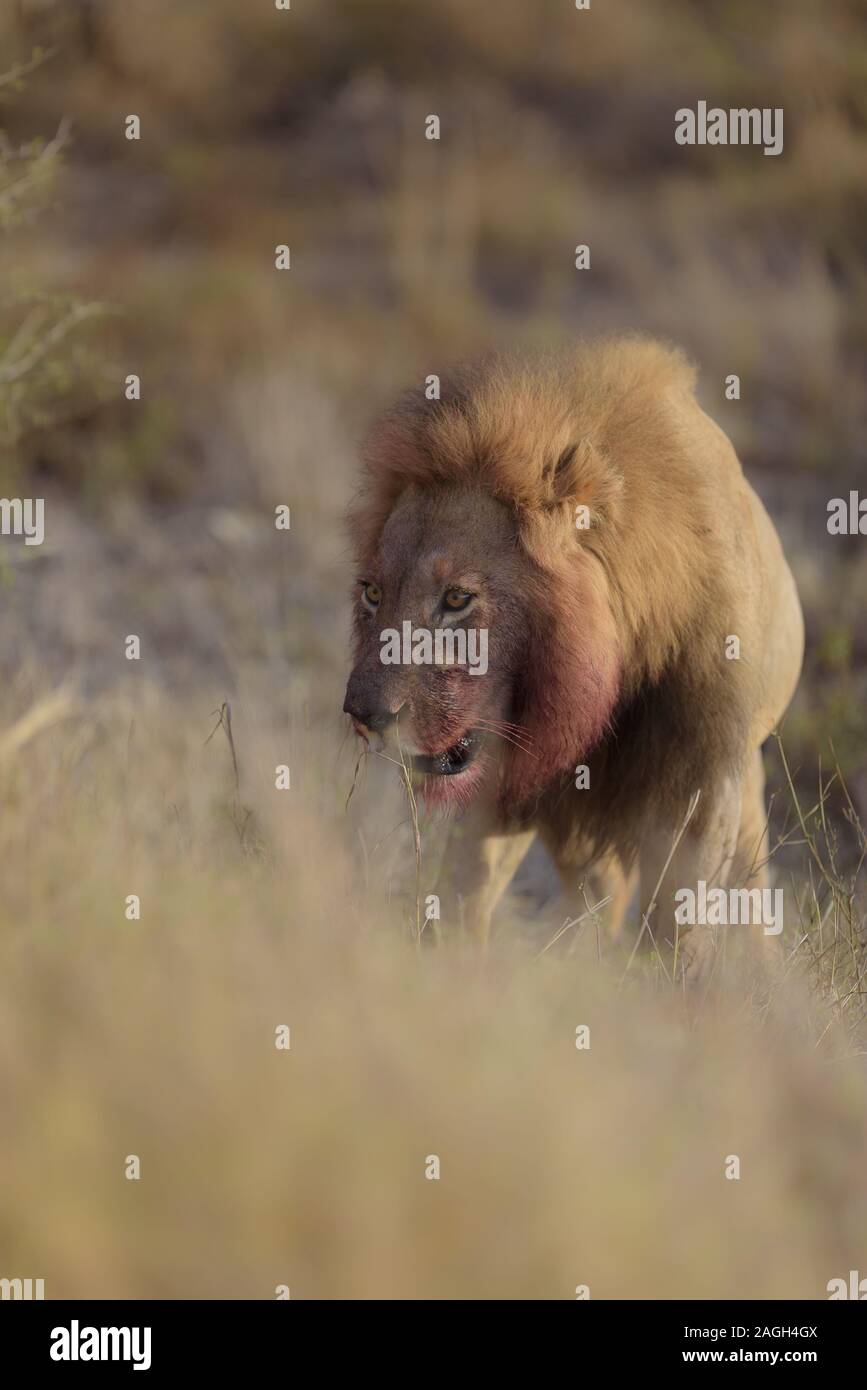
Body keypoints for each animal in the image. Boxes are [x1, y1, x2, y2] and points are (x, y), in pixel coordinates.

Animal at [343, 337, 804, 984]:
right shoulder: (502, 780)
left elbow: (683, 921)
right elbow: (467, 889)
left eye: (456, 599)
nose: (363, 715)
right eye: (372, 593)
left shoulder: (703, 772)